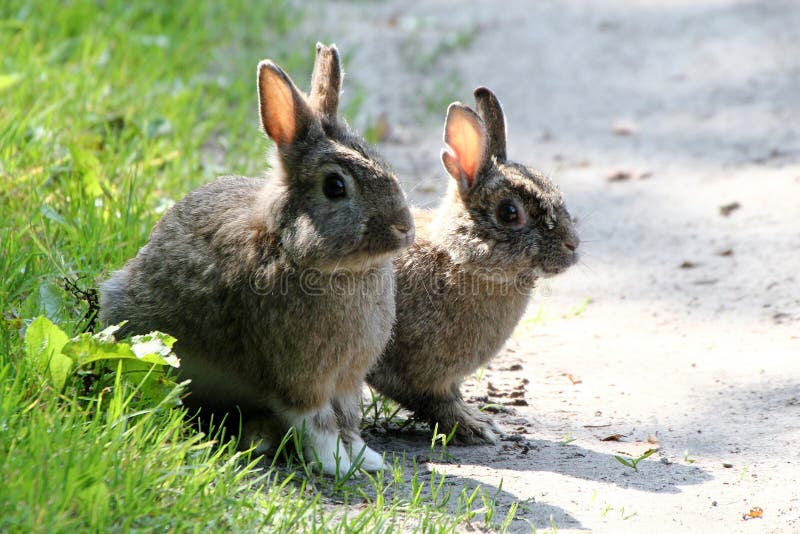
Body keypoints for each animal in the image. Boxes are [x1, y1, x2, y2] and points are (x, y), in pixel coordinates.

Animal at [99, 43, 414, 476]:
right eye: (335, 186)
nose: (405, 227)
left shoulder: (348, 381)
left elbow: (349, 420)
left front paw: (367, 459)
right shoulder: (300, 378)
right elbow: (317, 421)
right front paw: (334, 463)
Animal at [366, 87, 579, 445]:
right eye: (509, 213)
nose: (572, 246)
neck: (456, 259)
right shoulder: (418, 374)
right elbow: (435, 401)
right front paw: (475, 426)